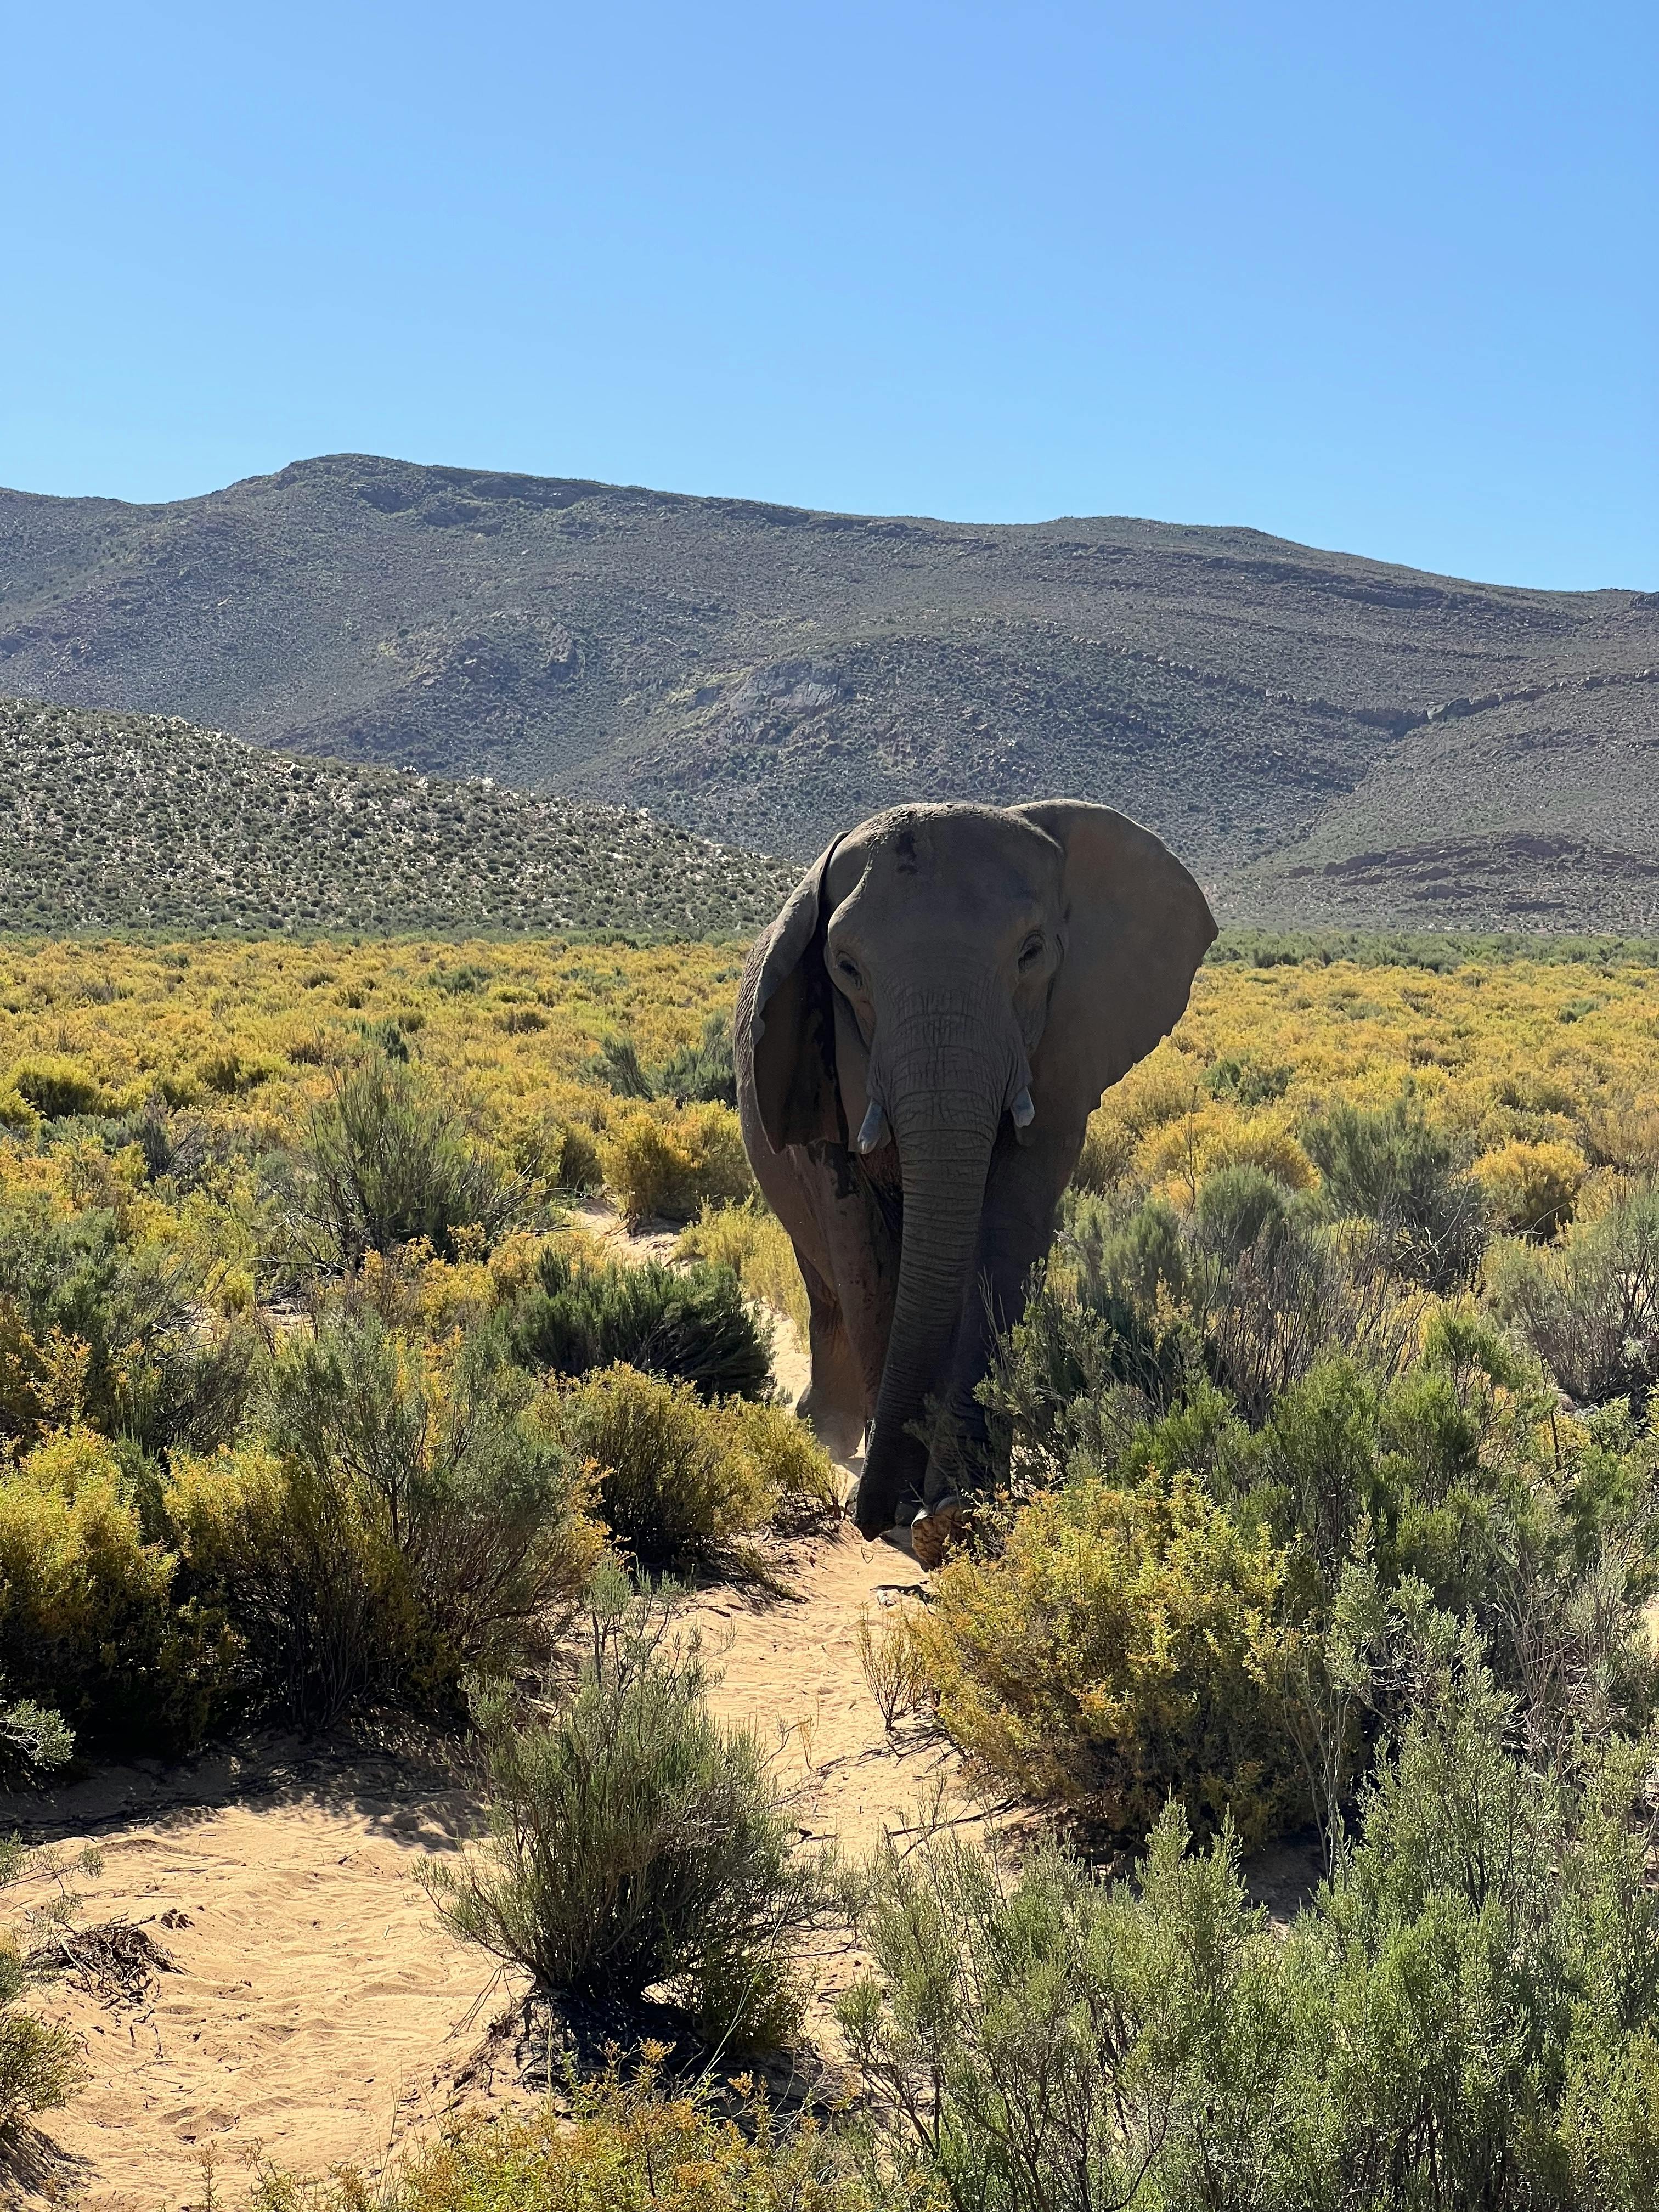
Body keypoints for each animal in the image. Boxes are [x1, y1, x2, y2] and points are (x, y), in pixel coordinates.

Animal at [734, 799, 1216, 1563]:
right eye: (846, 968)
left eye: (1032, 953)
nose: (877, 1517)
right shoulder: (819, 1064)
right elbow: (862, 1247)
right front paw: (910, 1505)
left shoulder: (1062, 1052)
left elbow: (1006, 1229)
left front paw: (961, 1506)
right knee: (828, 1283)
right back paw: (827, 1431)